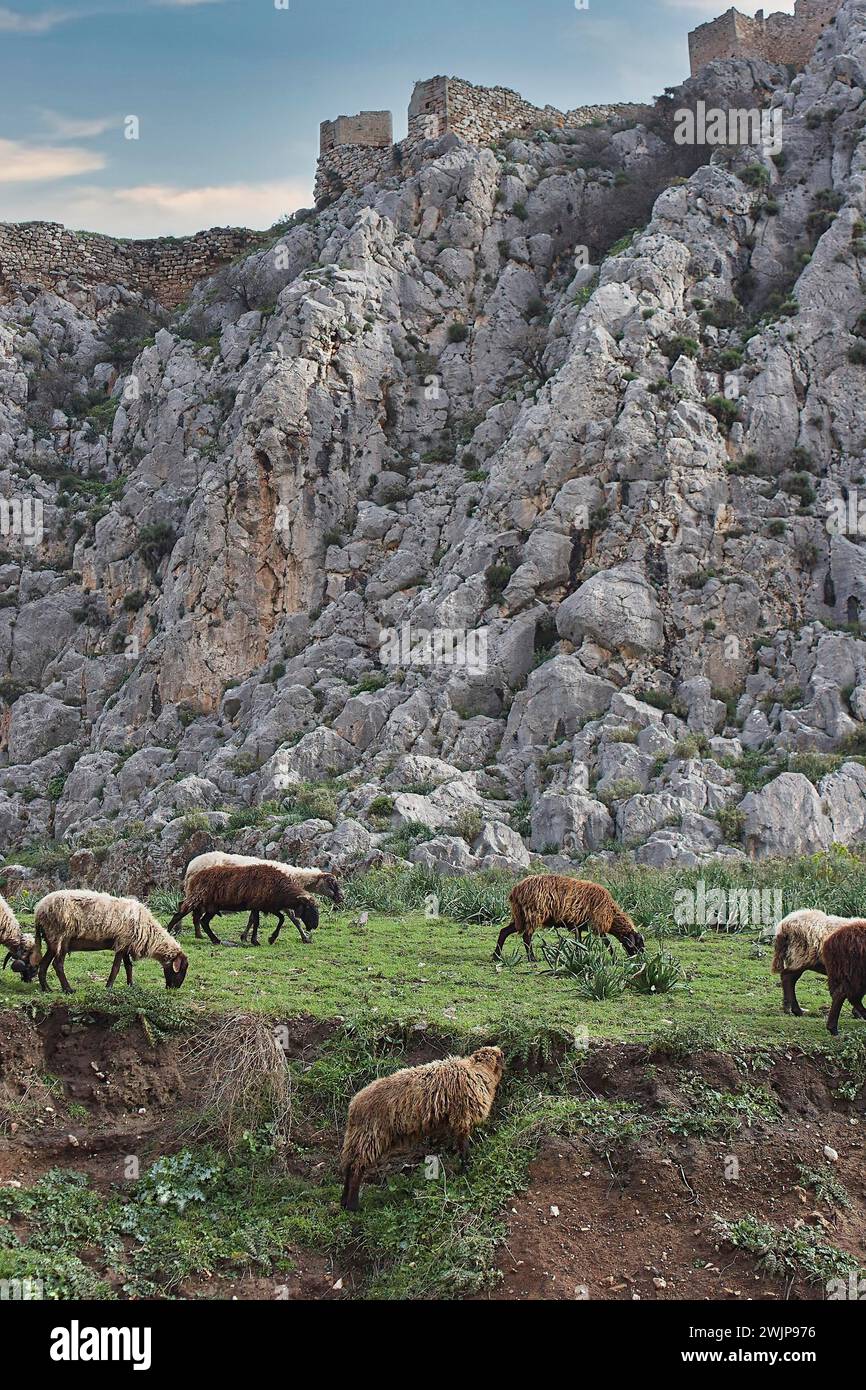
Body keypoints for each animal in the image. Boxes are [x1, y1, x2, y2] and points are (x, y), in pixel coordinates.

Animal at [34, 890, 188, 994]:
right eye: (182, 969)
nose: (174, 988)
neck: (149, 932)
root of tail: (39, 909)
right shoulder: (122, 941)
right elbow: (116, 968)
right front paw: (109, 987)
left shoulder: (126, 944)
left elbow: (128, 966)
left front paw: (130, 985)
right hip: (61, 936)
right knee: (57, 964)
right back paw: (68, 989)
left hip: (52, 939)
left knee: (43, 964)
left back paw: (46, 989)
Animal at [166, 864, 320, 946]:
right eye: (308, 908)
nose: (314, 926)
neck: (280, 888)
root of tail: (195, 876)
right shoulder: (257, 904)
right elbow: (257, 922)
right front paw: (255, 941)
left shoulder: (268, 906)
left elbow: (281, 919)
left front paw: (271, 938)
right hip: (198, 898)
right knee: (180, 912)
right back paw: (168, 931)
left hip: (211, 906)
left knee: (203, 921)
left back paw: (215, 940)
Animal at [340, 1046, 505, 1211]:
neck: (477, 1071)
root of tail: (353, 1105)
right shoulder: (462, 1117)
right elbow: (463, 1146)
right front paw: (466, 1169)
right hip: (370, 1136)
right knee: (356, 1168)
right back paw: (353, 1206)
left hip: (357, 1137)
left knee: (349, 1166)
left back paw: (344, 1202)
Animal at [494, 875, 645, 962]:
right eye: (638, 944)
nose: (642, 959)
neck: (612, 915)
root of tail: (516, 890)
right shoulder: (598, 924)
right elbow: (607, 943)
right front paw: (614, 958)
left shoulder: (578, 926)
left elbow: (580, 942)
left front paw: (580, 956)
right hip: (533, 914)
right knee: (526, 936)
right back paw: (532, 958)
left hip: (520, 916)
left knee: (504, 931)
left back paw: (496, 956)